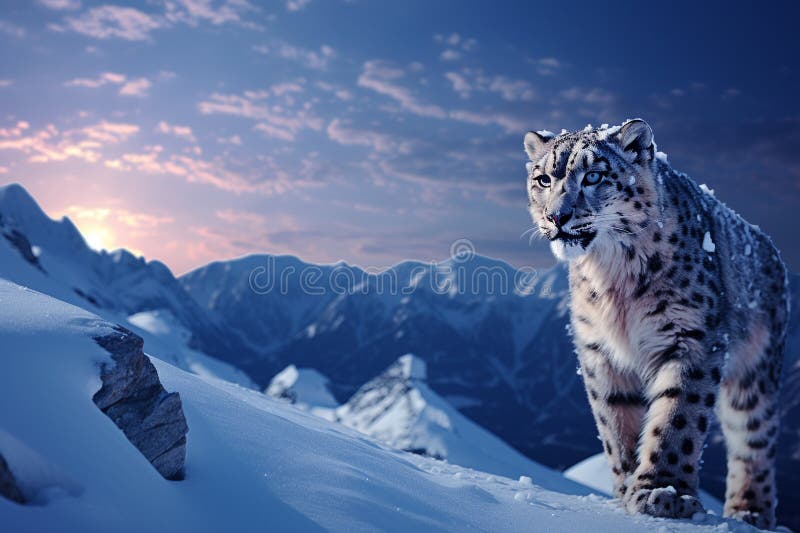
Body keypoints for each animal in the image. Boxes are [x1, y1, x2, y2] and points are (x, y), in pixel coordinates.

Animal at [524, 119, 789, 529]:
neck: (612, 276)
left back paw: (751, 511)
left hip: (755, 374)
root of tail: (771, 248)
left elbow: (678, 417)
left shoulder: (693, 337)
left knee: (754, 438)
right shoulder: (598, 349)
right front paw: (628, 488)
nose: (556, 217)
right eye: (543, 179)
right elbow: (616, 422)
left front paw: (663, 492)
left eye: (594, 175)